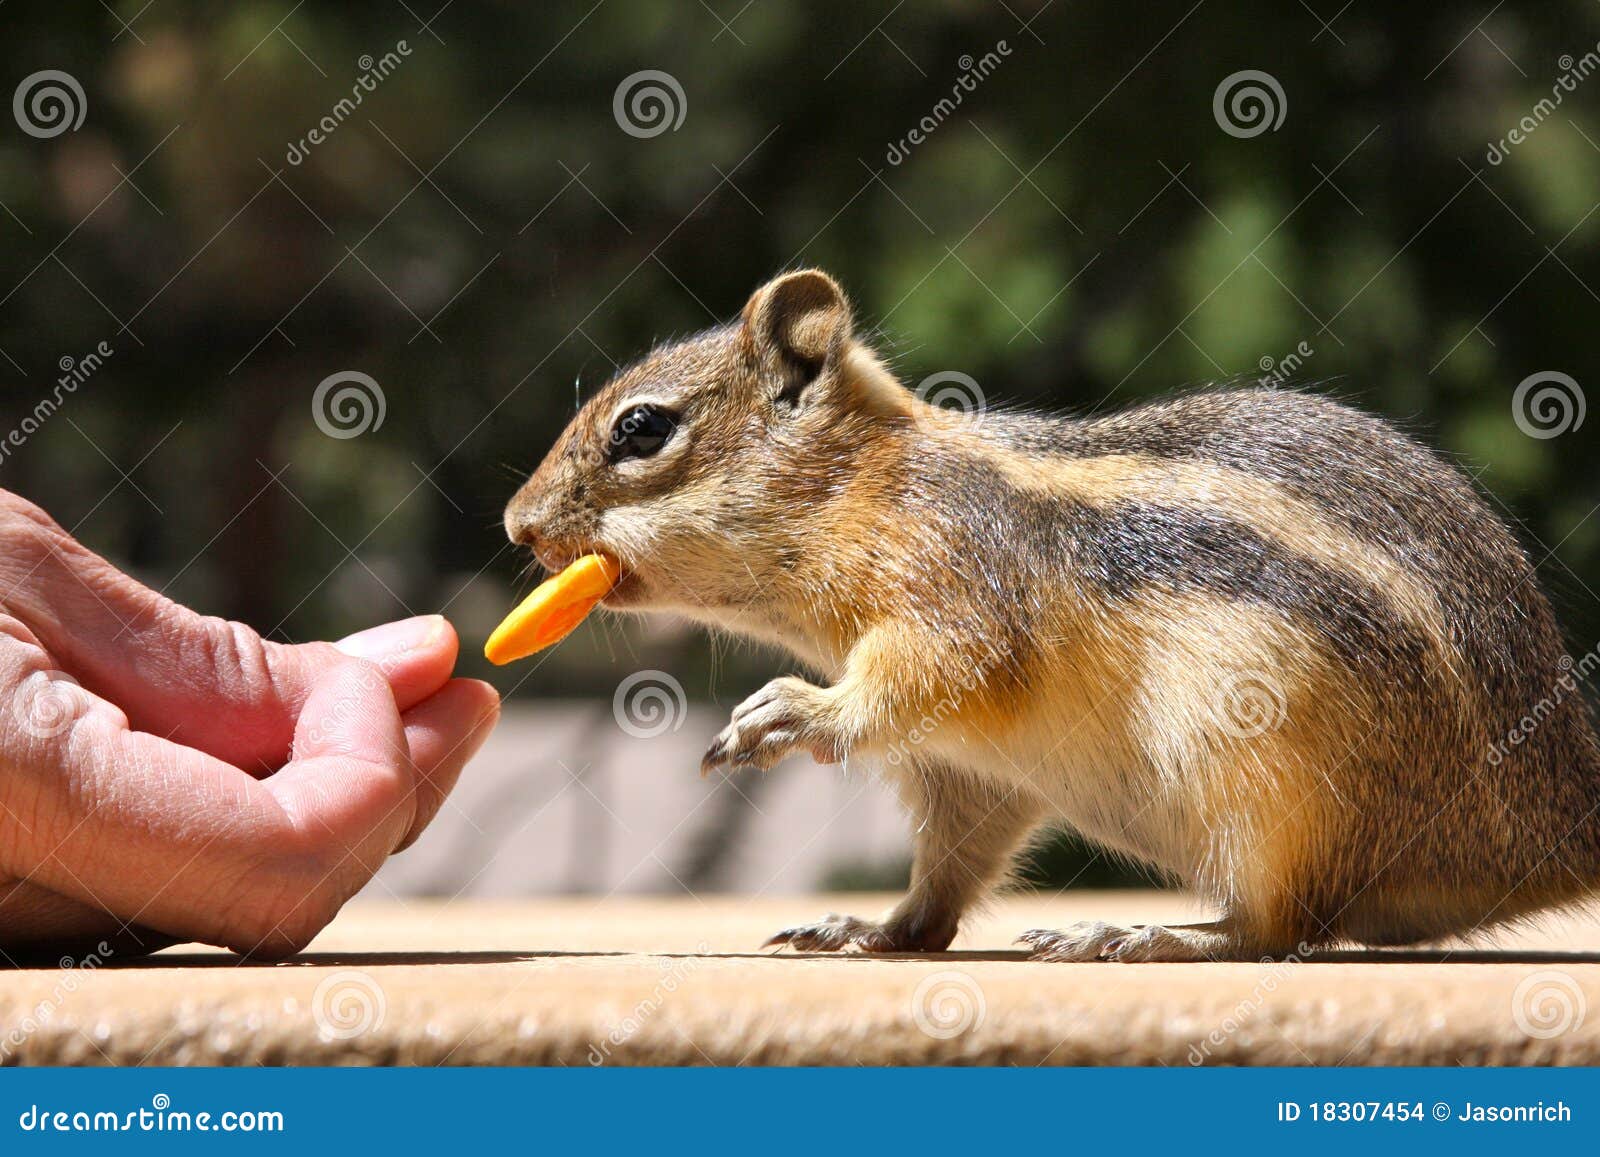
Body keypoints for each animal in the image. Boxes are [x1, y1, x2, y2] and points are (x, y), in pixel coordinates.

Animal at [503, 269, 1600, 961]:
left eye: (641, 428)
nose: (518, 524)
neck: (864, 489)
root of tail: (1553, 822)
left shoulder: (953, 587)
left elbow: (936, 666)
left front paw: (792, 712)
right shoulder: (963, 767)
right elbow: (953, 863)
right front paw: (875, 926)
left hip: (1270, 775)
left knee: (1281, 925)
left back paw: (1144, 933)